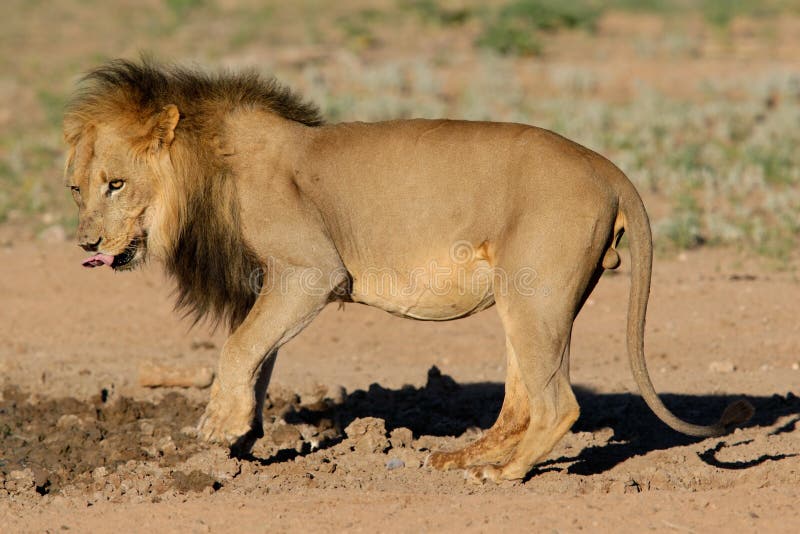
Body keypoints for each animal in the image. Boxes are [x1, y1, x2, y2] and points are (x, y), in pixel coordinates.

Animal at [63, 59, 753, 482]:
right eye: (76, 189)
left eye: (116, 184)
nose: (86, 244)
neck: (210, 168)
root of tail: (605, 166)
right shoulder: (278, 285)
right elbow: (259, 357)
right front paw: (241, 437)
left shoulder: (311, 273)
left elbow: (238, 348)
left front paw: (215, 433)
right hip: (526, 300)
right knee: (520, 401)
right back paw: (461, 460)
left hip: (535, 296)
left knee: (558, 404)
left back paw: (503, 474)